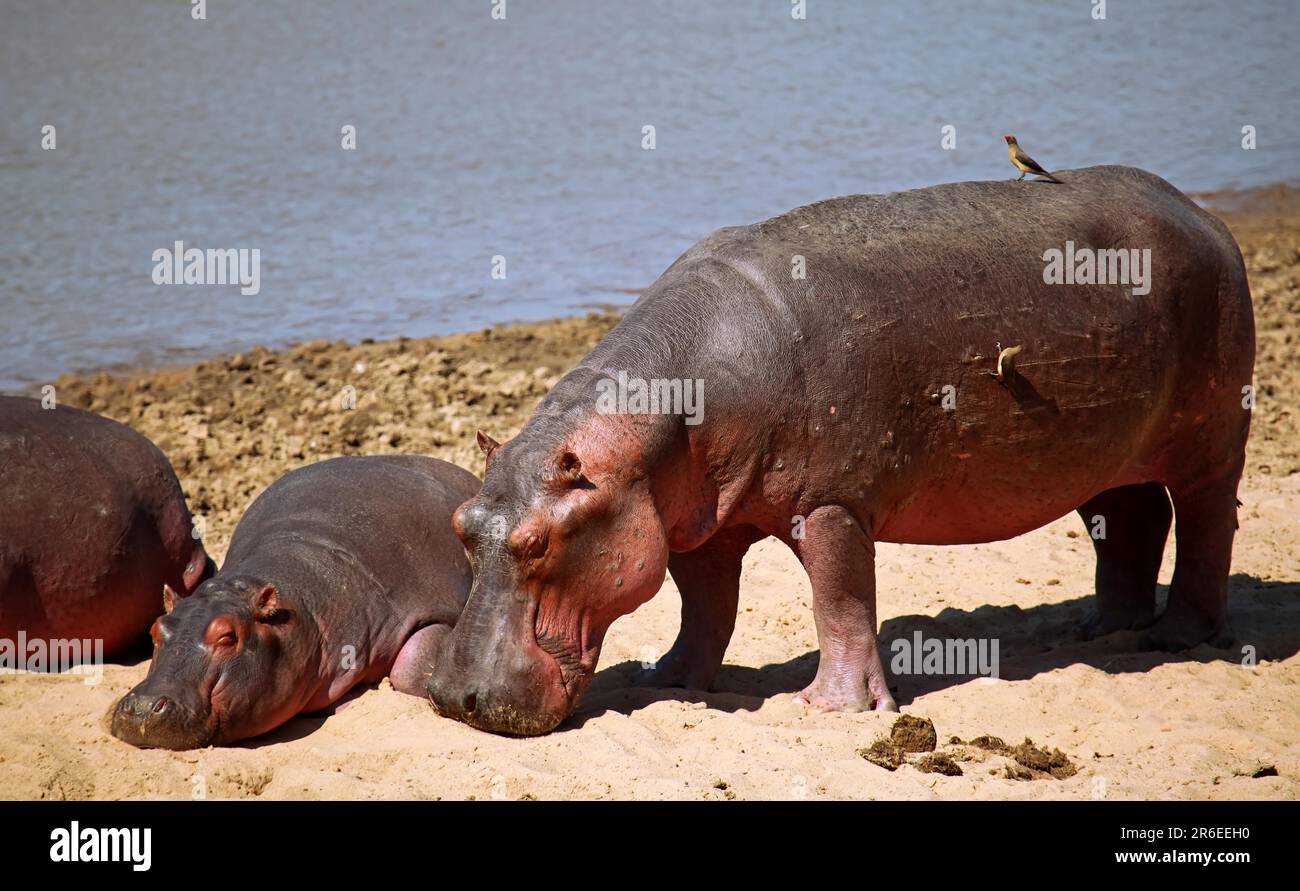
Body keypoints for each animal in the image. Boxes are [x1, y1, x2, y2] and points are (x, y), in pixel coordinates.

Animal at [426, 165, 1255, 736]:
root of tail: (1202, 214)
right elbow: (705, 602)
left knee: (1207, 523)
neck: (662, 415)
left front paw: (832, 706)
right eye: (463, 525)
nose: (452, 697)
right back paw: (1102, 632)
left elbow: (841, 600)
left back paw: (1180, 636)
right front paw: (673, 680)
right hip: (1107, 450)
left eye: (537, 542)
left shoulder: (832, 503)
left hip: (1211, 435)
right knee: (1133, 519)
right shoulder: (695, 518)